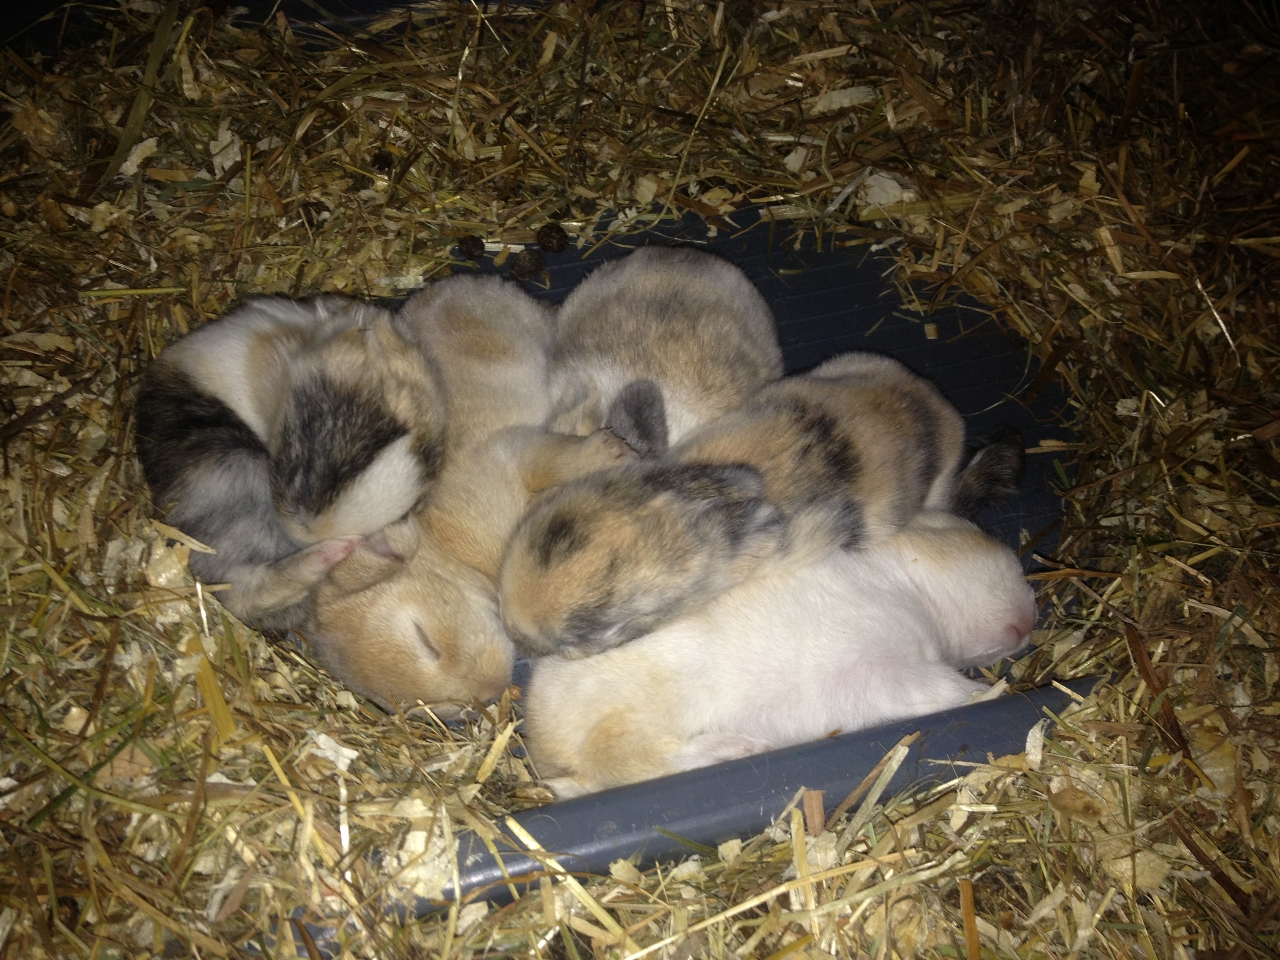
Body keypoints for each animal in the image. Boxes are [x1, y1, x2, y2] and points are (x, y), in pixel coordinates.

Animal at [305, 274, 638, 713]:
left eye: (425, 638)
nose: (491, 690)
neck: (450, 547)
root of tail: (460, 281)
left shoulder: (513, 453)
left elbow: (556, 460)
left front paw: (614, 452)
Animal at [522, 510, 1039, 797]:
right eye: (966, 531)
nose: (1033, 615)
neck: (910, 584)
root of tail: (542, 747)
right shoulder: (892, 671)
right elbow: (941, 688)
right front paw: (991, 691)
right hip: (637, 717)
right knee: (629, 763)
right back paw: (741, 748)